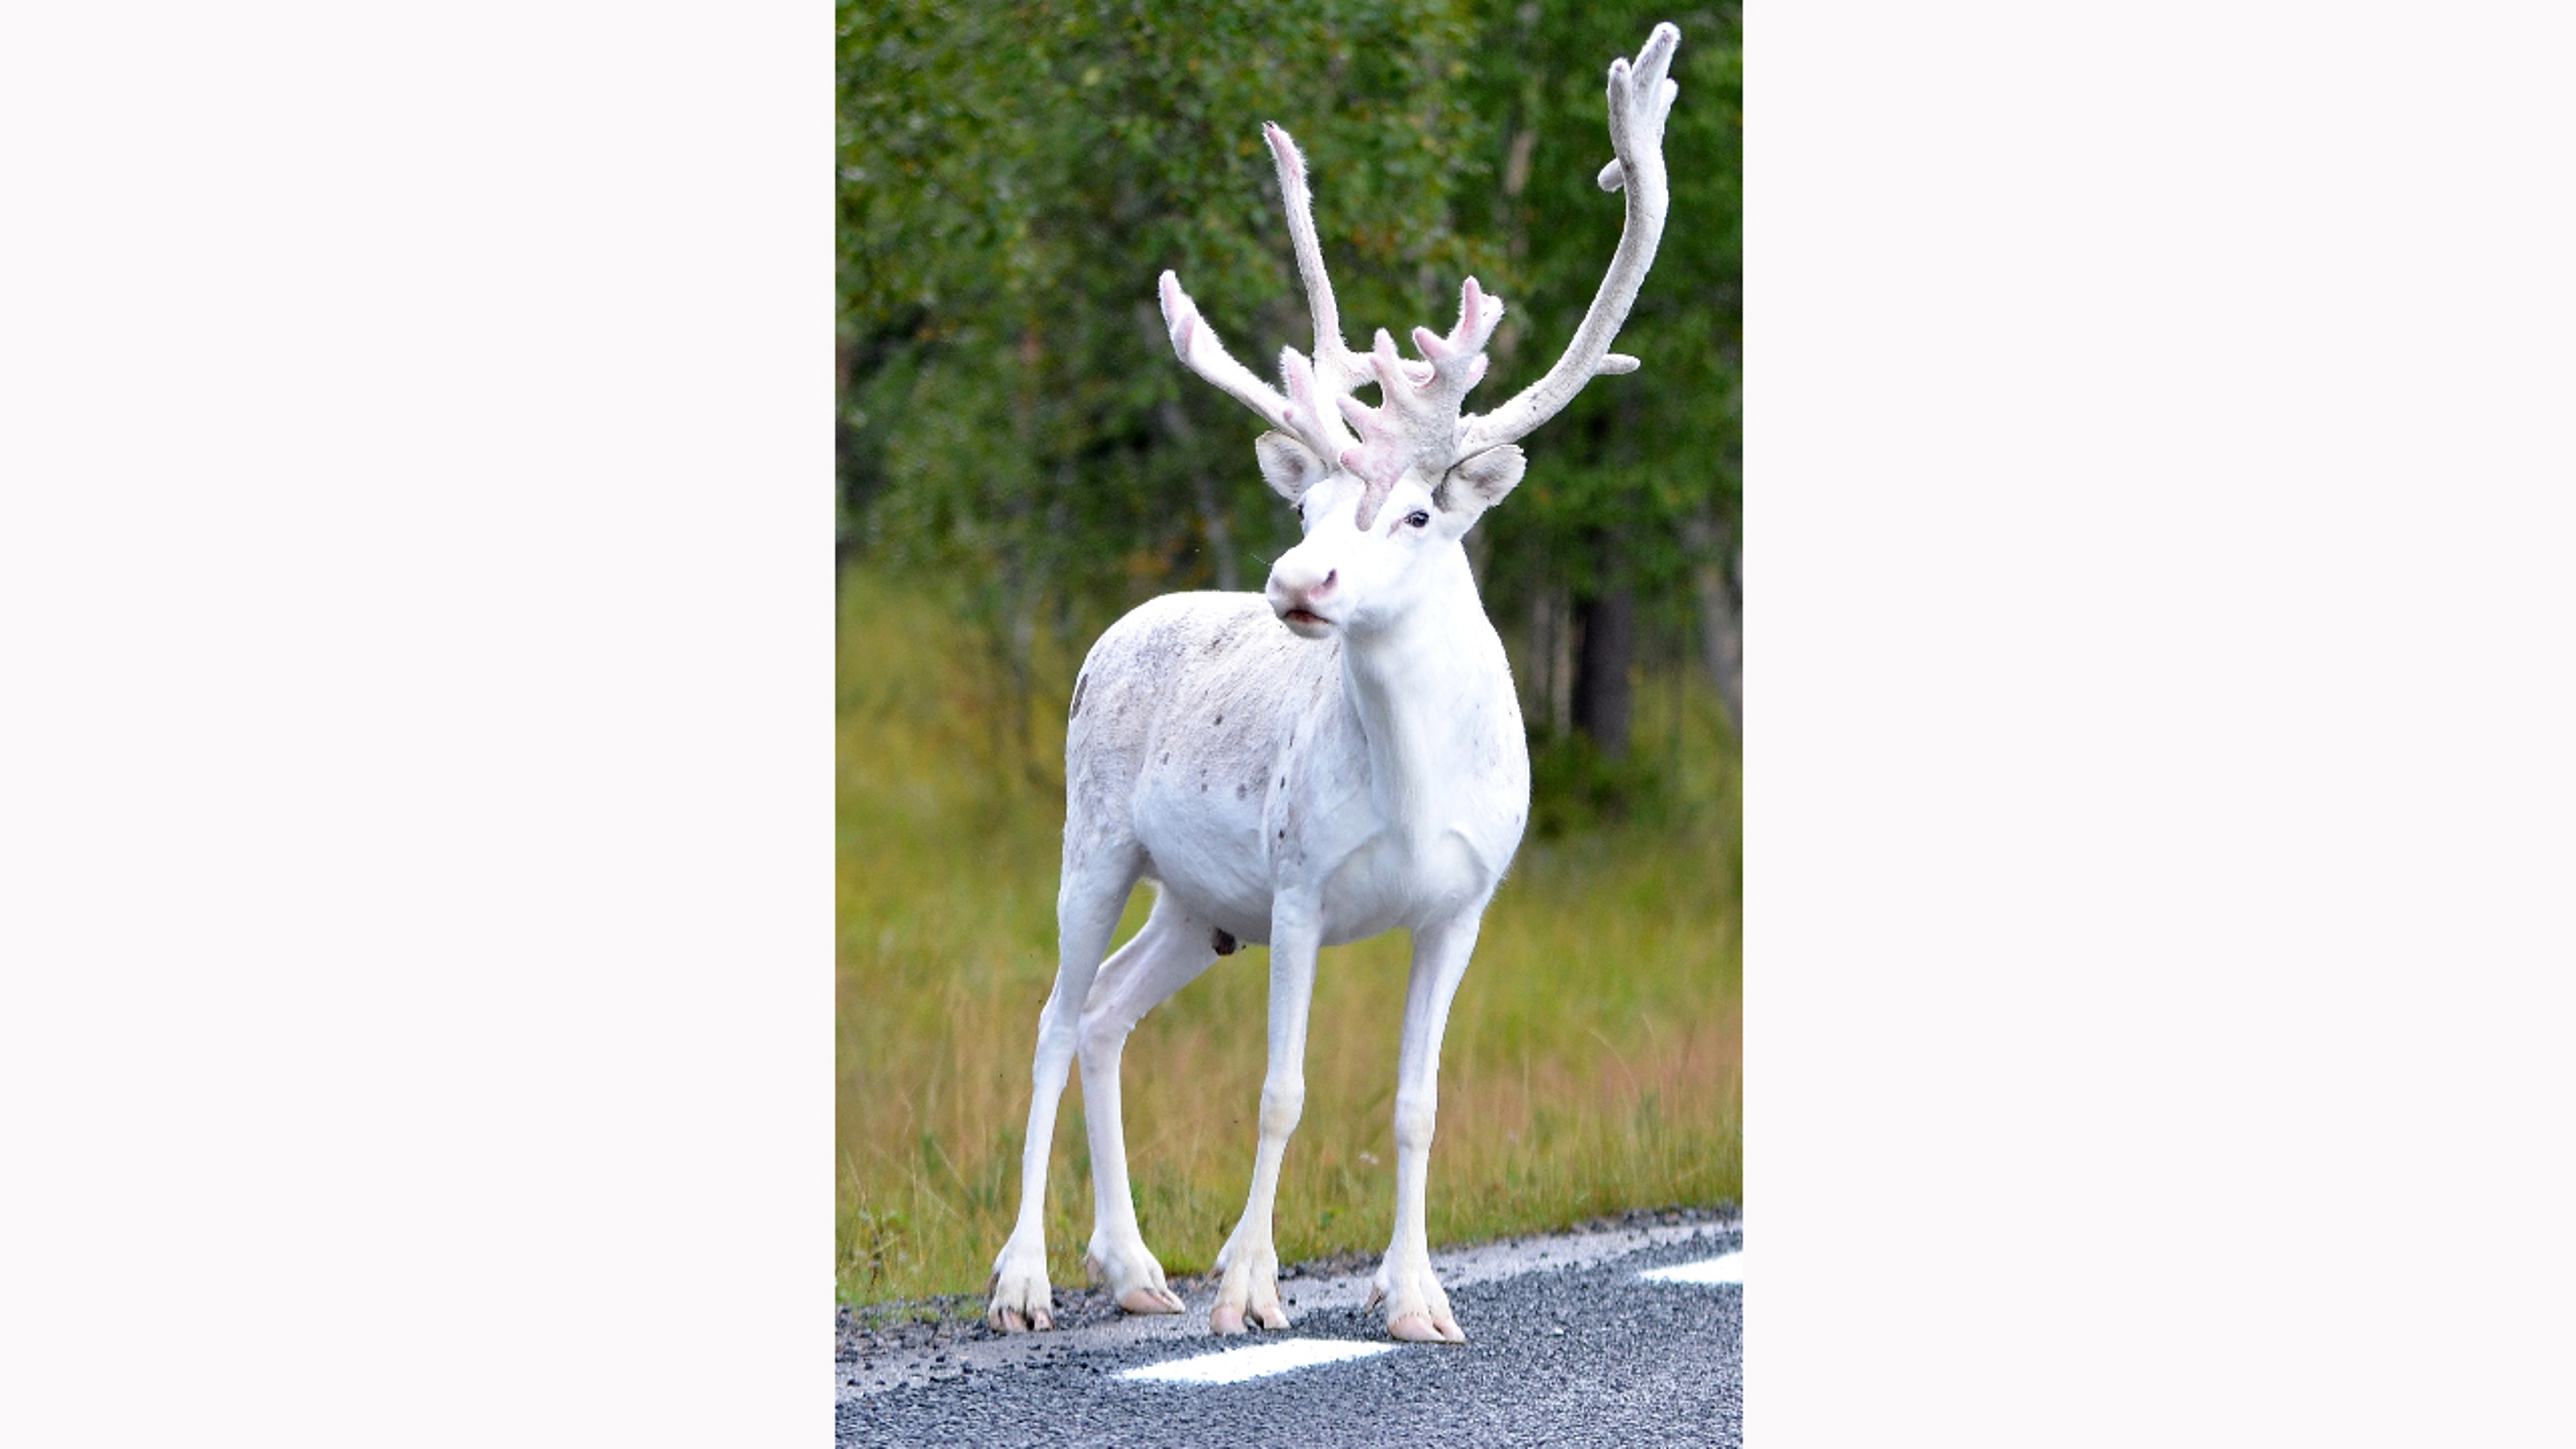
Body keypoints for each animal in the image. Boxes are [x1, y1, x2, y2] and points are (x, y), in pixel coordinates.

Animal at [985, 21, 1681, 1345]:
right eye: (1306, 509)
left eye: (1415, 513)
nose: (1296, 581)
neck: (1411, 788)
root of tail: (1111, 633)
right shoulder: (1301, 883)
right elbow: (1281, 1090)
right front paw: (1248, 1290)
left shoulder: (1462, 905)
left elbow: (1417, 1103)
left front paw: (1415, 1298)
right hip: (1094, 837)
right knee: (1048, 1017)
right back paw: (1026, 1281)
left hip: (1198, 906)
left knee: (1103, 1012)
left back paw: (1134, 1265)